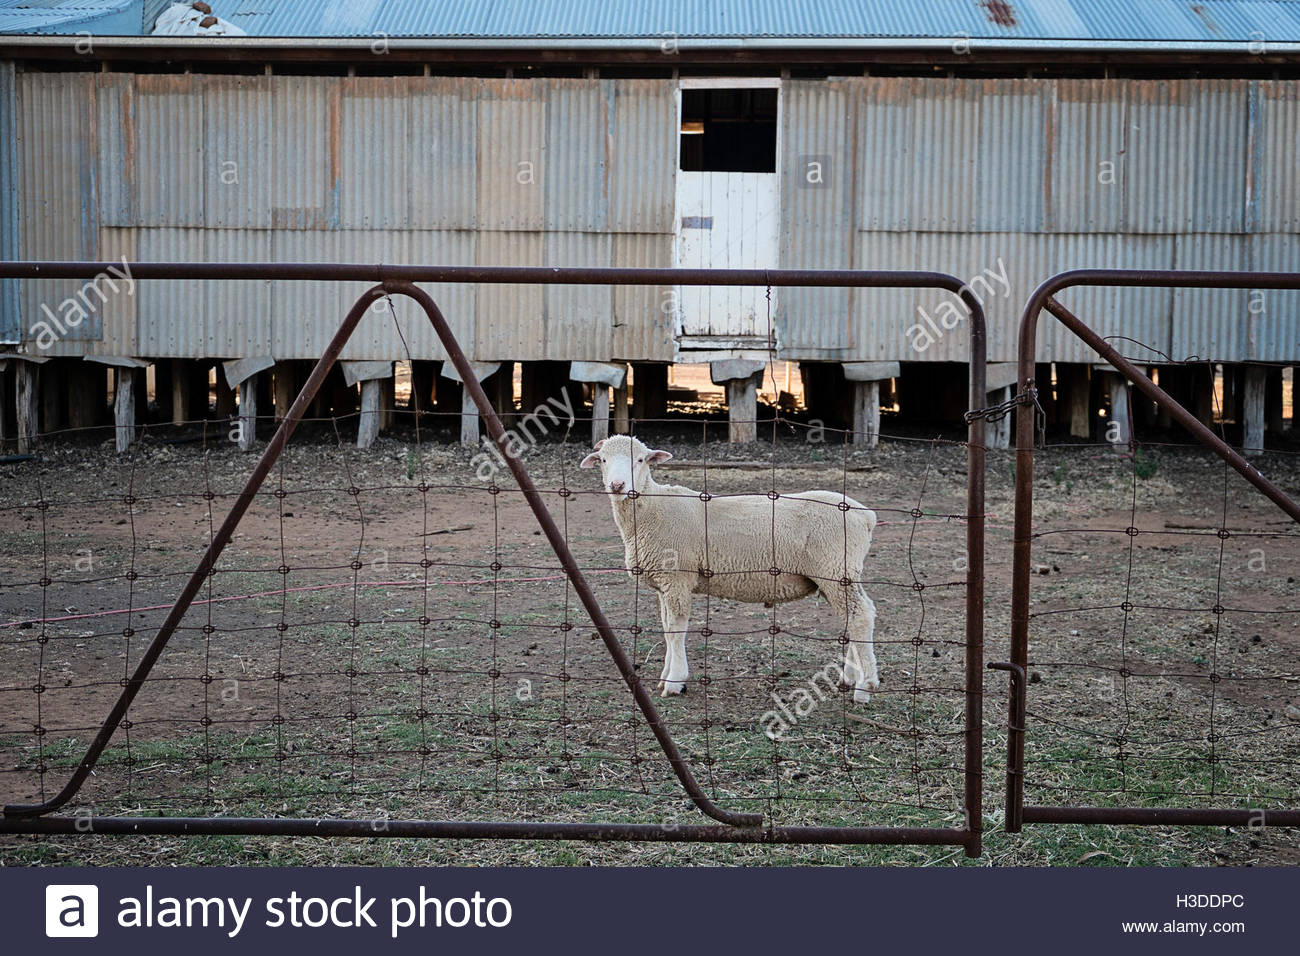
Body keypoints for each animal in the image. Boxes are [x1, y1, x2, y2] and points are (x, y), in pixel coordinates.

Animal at [580, 434, 880, 703]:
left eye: (641, 459)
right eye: (603, 459)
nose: (617, 485)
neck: (652, 508)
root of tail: (865, 515)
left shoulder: (678, 578)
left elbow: (676, 628)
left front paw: (675, 681)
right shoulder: (663, 582)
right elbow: (666, 627)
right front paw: (665, 676)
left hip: (836, 569)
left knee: (861, 617)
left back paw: (865, 687)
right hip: (836, 575)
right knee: (852, 617)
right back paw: (849, 677)